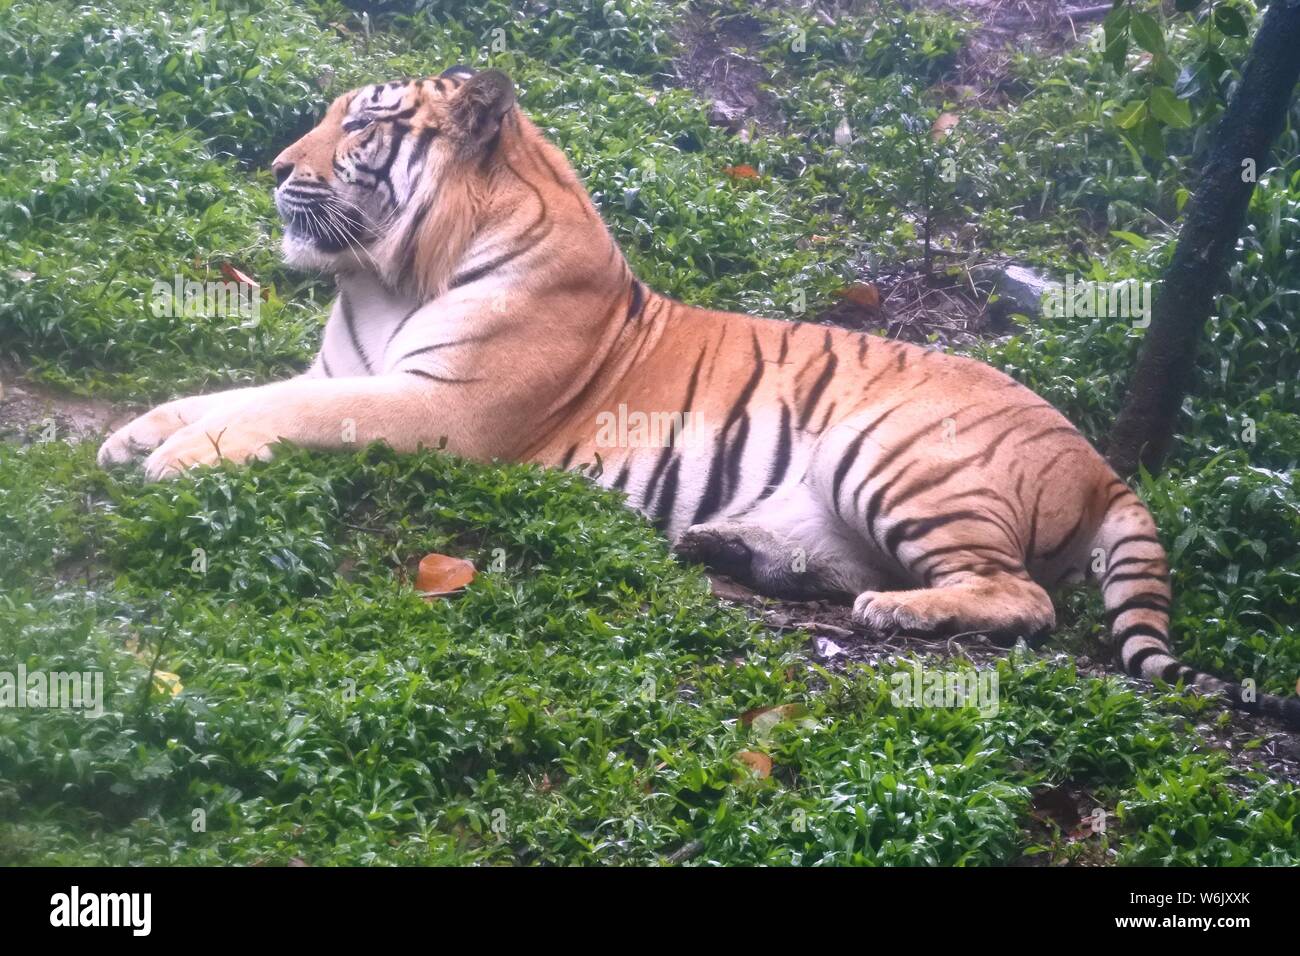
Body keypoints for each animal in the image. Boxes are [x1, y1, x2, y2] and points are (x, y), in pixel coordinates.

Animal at [99, 66, 1300, 727]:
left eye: (361, 126)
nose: (272, 167)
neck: (388, 277)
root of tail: (1103, 464)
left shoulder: (434, 407)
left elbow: (277, 413)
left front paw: (176, 459)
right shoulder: (344, 372)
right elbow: (231, 388)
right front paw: (133, 433)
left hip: (896, 452)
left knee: (1020, 599)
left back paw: (894, 609)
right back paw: (737, 549)